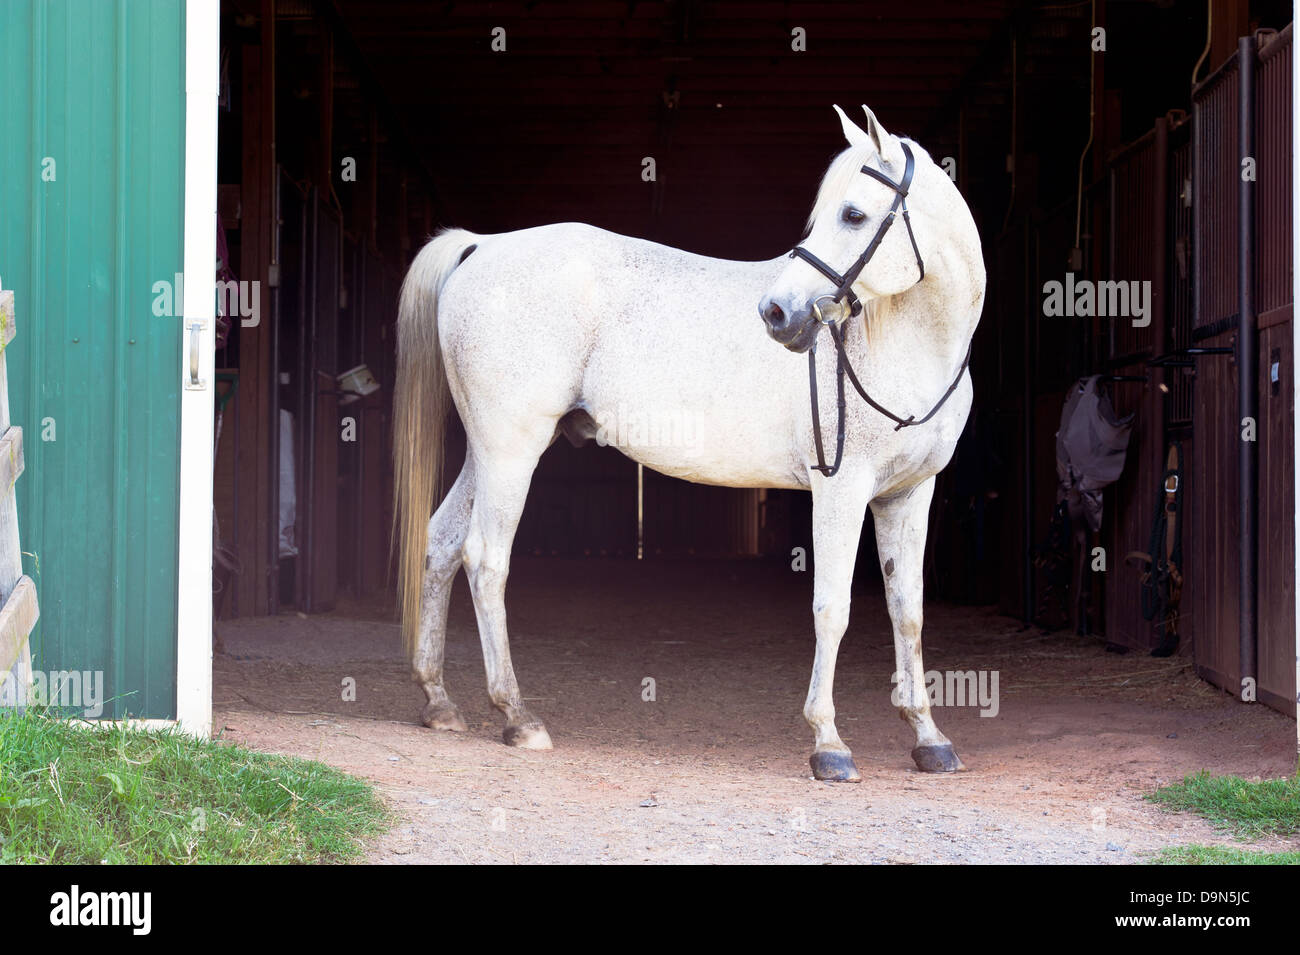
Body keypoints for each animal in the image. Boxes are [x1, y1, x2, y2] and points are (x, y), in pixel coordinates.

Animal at [392, 104, 985, 780]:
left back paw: (439, 702)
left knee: (441, 544)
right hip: (511, 451)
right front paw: (828, 744)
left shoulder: (909, 495)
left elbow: (908, 612)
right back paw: (518, 717)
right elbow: (832, 609)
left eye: (854, 214)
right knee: (485, 559)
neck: (903, 347)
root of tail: (483, 244)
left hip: (487, 453)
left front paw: (929, 737)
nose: (777, 313)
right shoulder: (841, 489)